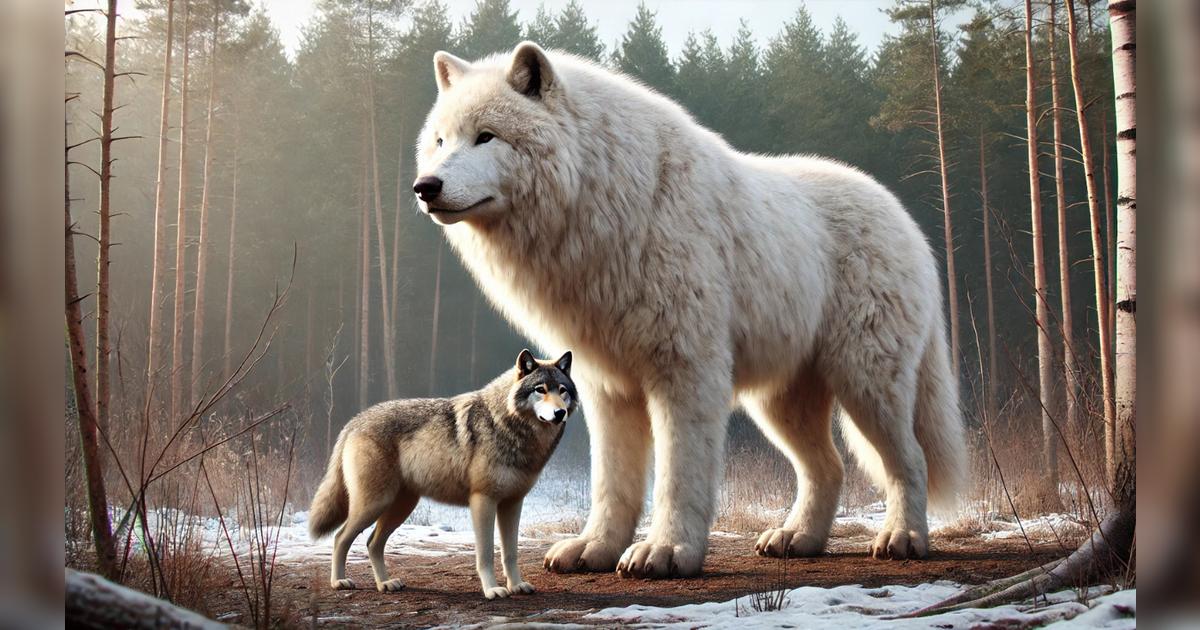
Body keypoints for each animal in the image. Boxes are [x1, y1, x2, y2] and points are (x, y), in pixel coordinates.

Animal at [308, 349, 576, 599]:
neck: (508, 425)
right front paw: (492, 589)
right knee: (340, 537)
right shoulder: (483, 501)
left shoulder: (513, 503)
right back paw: (339, 582)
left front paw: (516, 586)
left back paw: (385, 584)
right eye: (540, 389)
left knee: (372, 543)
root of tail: (354, 421)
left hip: (400, 508)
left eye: (562, 390)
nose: (560, 413)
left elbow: (510, 552)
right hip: (373, 505)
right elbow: (486, 553)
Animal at [411, 42, 966, 579]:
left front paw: (666, 552)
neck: (610, 203)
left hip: (866, 384)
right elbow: (611, 482)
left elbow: (678, 476)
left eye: (486, 137)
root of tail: (906, 221)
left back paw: (903, 538)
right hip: (780, 402)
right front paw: (595, 549)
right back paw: (796, 539)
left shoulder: (686, 372)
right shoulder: (604, 386)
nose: (425, 187)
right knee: (828, 467)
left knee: (909, 459)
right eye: (440, 141)